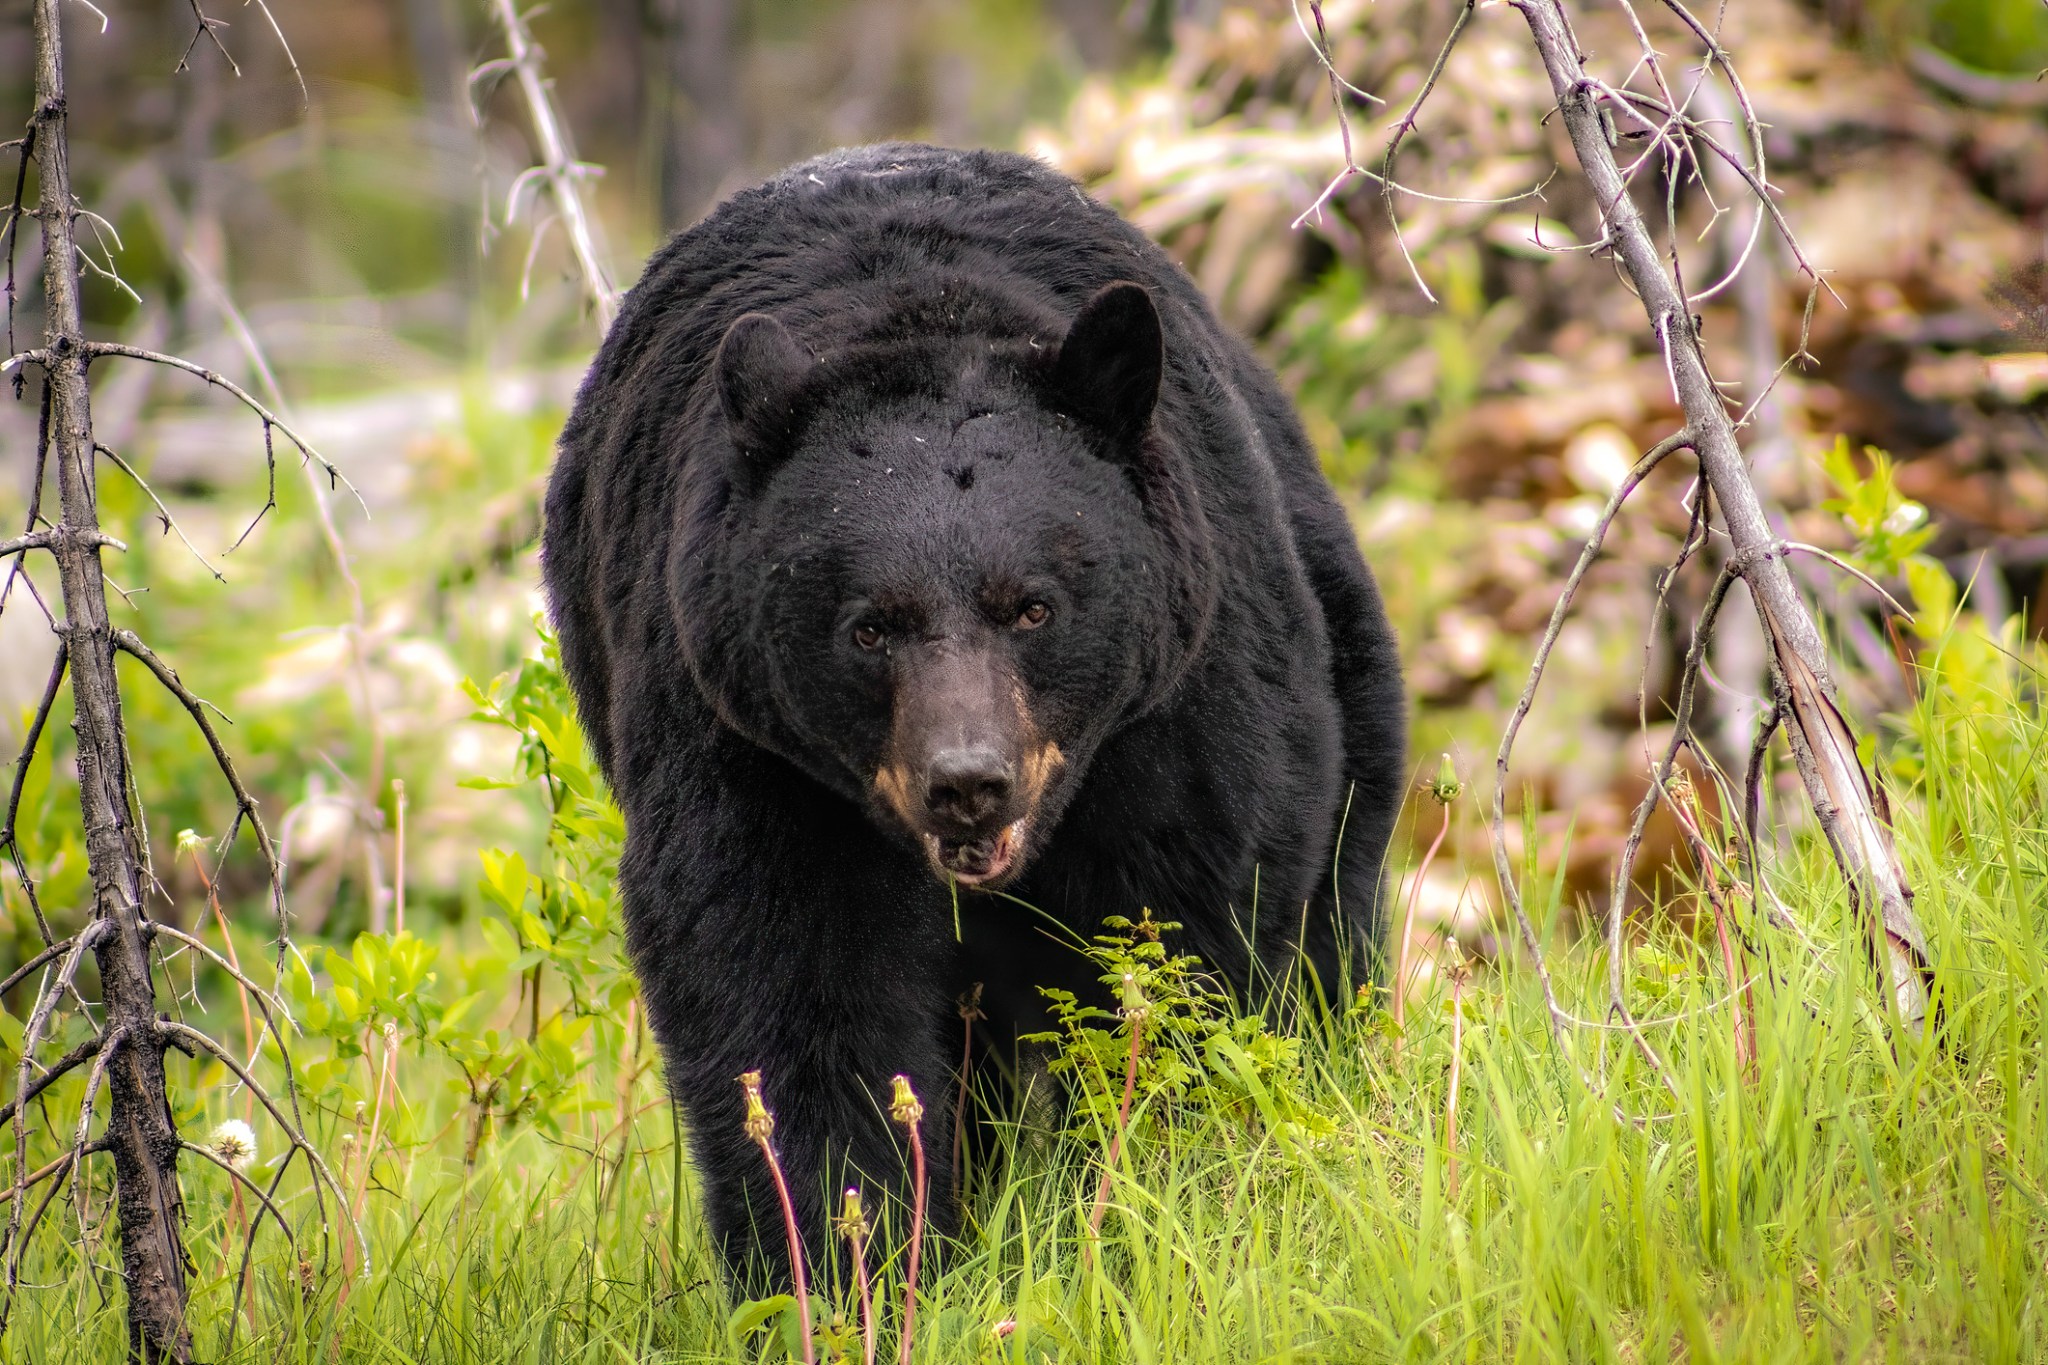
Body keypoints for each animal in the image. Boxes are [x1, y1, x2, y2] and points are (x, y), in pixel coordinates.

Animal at [541, 143, 1406, 1287]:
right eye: (870, 627)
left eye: (1033, 605)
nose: (966, 781)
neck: (919, 316)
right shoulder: (742, 738)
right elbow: (789, 983)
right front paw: (847, 1260)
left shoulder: (1178, 703)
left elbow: (1181, 935)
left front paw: (1151, 1198)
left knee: (1335, 911)